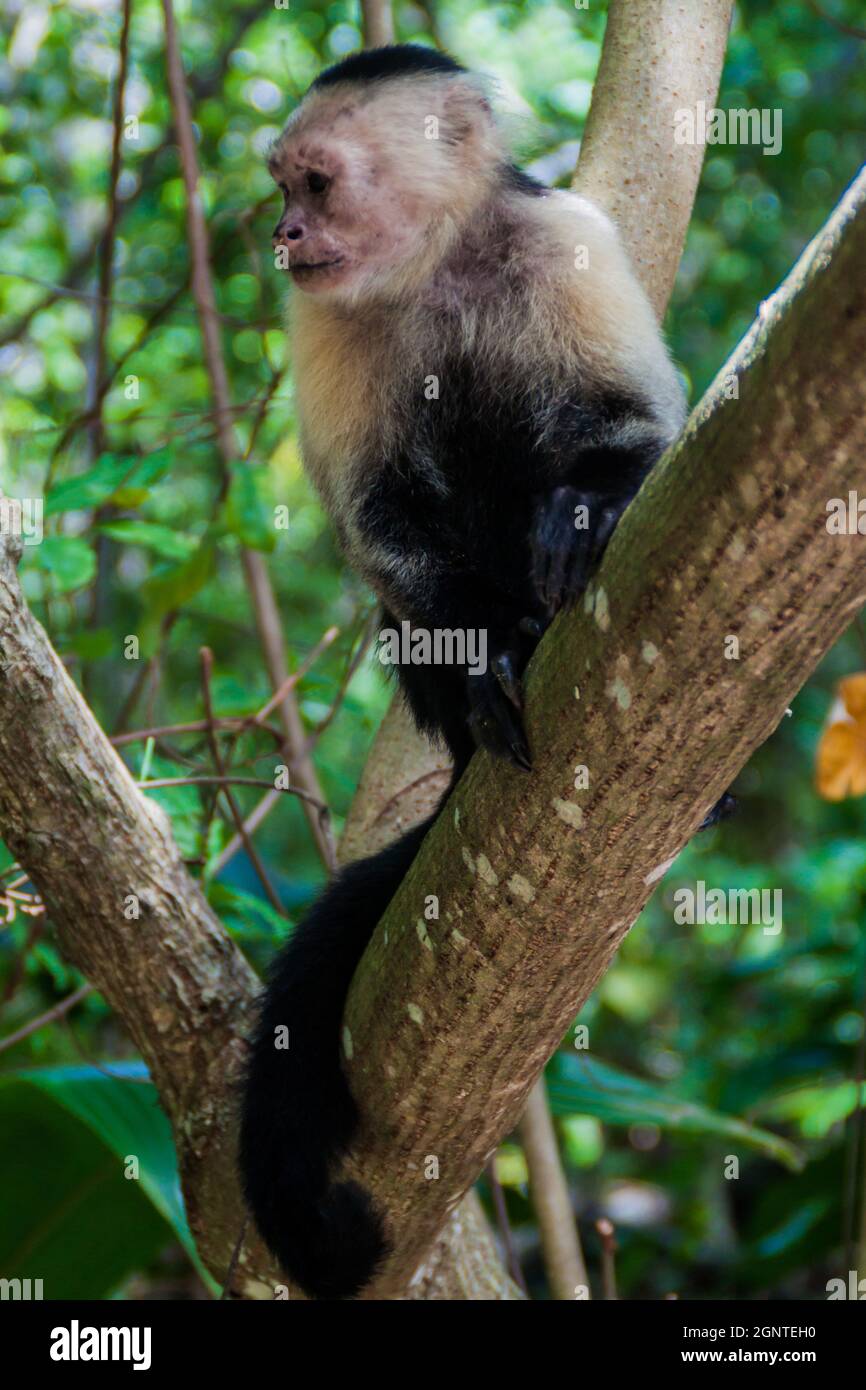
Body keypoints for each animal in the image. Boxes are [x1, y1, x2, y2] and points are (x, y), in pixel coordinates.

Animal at [239, 43, 732, 1300]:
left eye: (315, 181)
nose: (282, 233)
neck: (433, 267)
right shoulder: (320, 317)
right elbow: (381, 526)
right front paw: (482, 646)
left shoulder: (564, 241)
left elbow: (635, 427)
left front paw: (585, 508)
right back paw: (485, 679)